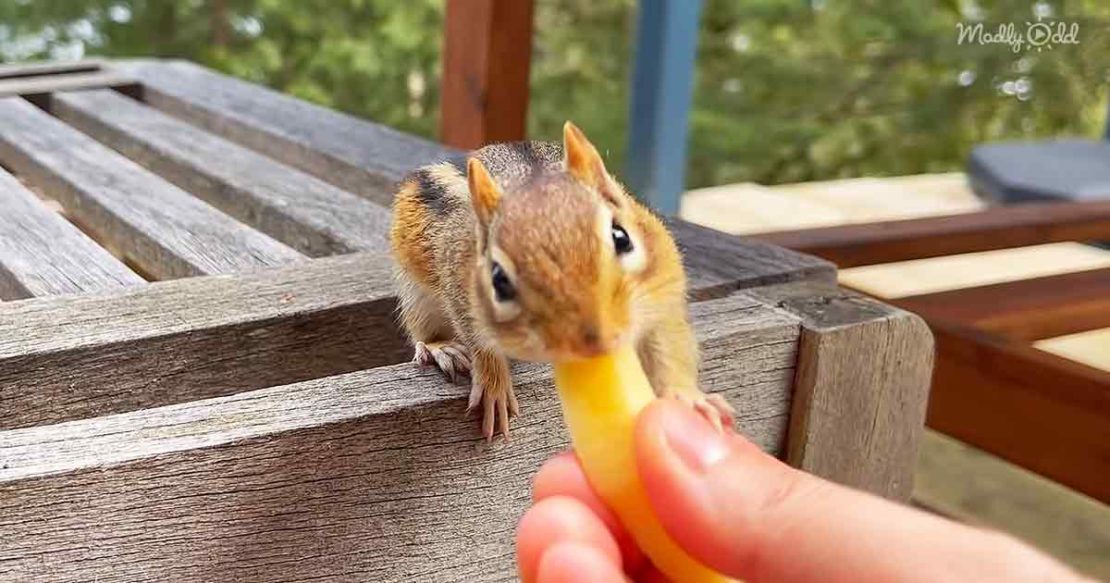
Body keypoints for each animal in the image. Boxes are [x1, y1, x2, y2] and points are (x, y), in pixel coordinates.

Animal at [390, 122, 733, 439]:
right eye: (498, 279)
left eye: (621, 237)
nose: (595, 341)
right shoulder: (462, 289)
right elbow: (480, 341)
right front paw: (494, 384)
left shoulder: (663, 290)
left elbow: (669, 345)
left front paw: (688, 397)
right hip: (416, 295)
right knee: (423, 328)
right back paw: (441, 348)